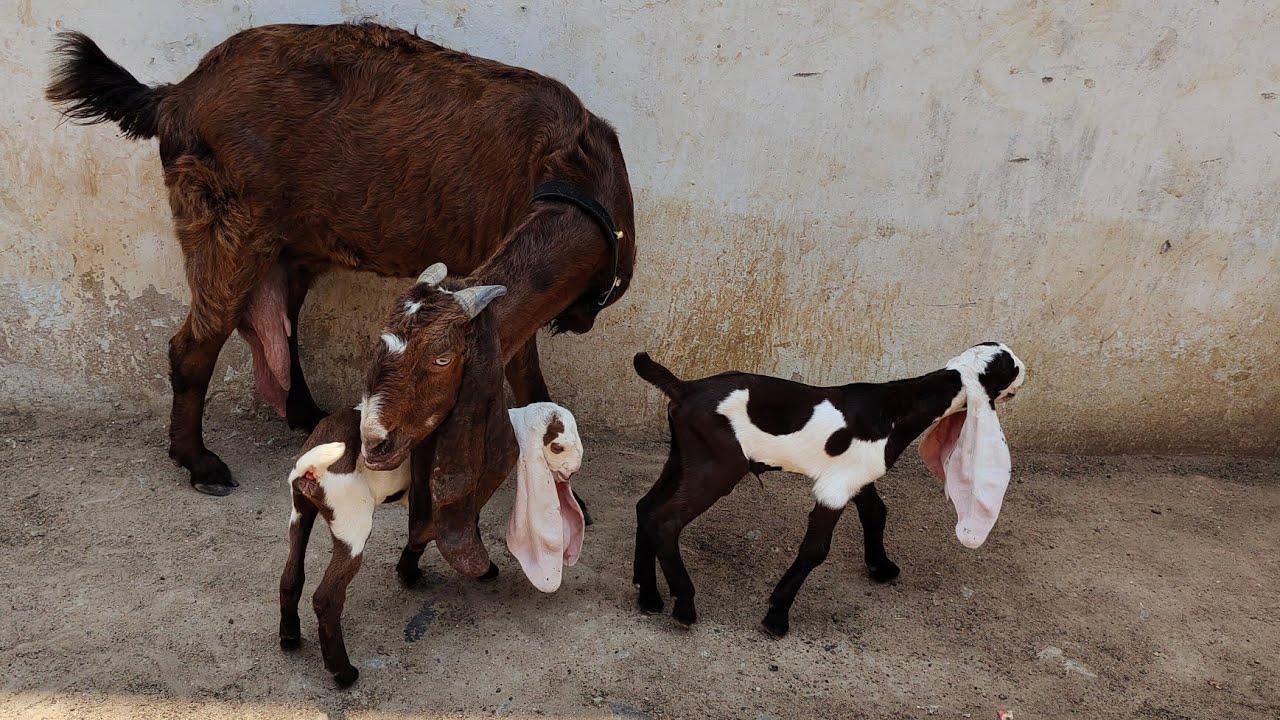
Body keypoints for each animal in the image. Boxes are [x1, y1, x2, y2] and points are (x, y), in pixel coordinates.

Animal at [46, 23, 635, 501]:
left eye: (439, 364)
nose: (380, 442)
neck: (572, 172)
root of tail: (176, 96)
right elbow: (527, 374)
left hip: (284, 247)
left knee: (279, 331)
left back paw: (306, 414)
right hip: (223, 227)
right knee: (192, 347)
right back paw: (199, 462)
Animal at [280, 402, 583, 687]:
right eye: (559, 447)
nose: (571, 473)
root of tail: (310, 466)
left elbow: (420, 533)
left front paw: (408, 573)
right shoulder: (460, 496)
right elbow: (455, 529)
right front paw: (483, 570)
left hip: (300, 513)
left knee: (291, 576)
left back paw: (289, 637)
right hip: (352, 521)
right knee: (327, 598)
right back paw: (342, 672)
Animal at [631, 343, 1026, 638]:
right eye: (1010, 366)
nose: (1026, 370)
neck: (899, 406)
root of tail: (685, 388)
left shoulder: (857, 475)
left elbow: (877, 514)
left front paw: (881, 566)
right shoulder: (835, 487)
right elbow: (815, 549)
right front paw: (776, 616)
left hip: (683, 457)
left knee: (646, 507)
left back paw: (648, 594)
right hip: (718, 467)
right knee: (666, 521)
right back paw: (684, 606)